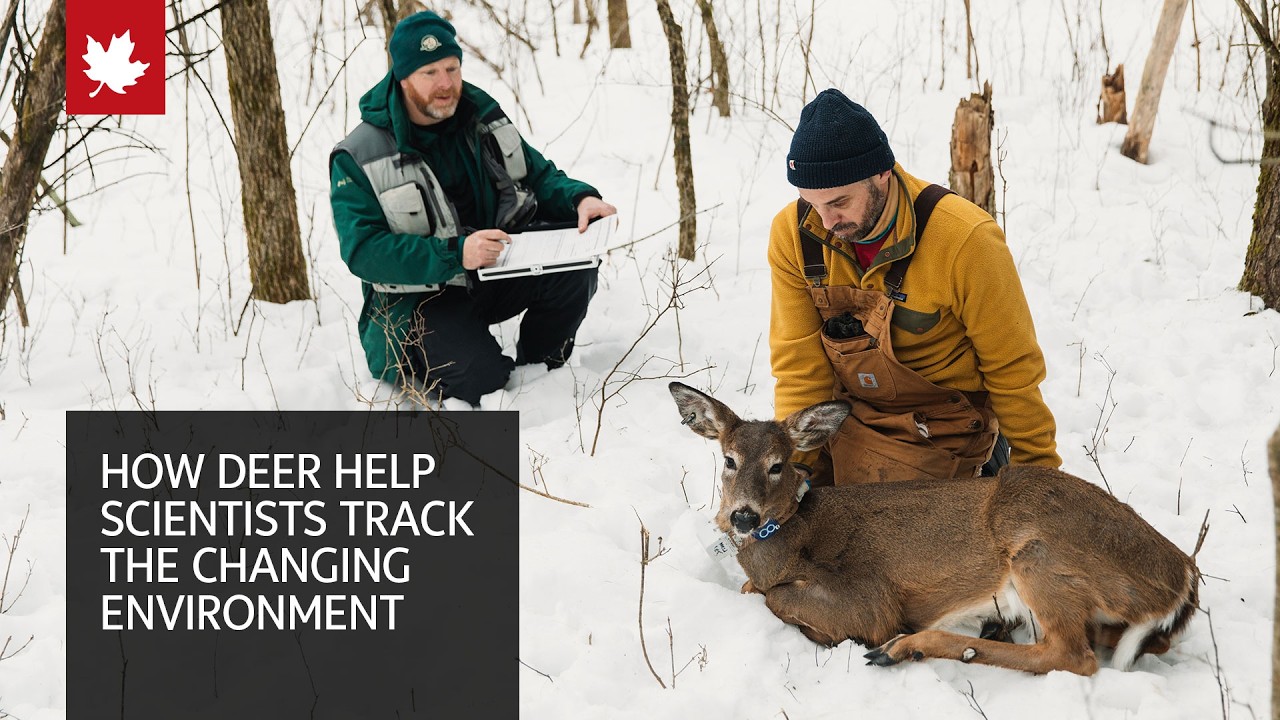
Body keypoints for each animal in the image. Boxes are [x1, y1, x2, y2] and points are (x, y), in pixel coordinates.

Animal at [668, 382, 1200, 675]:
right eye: (729, 460)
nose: (743, 516)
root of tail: (1183, 581)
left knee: (1073, 656)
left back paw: (904, 648)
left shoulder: (869, 600)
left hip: (1039, 553)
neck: (791, 541)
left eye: (779, 464)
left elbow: (773, 599)